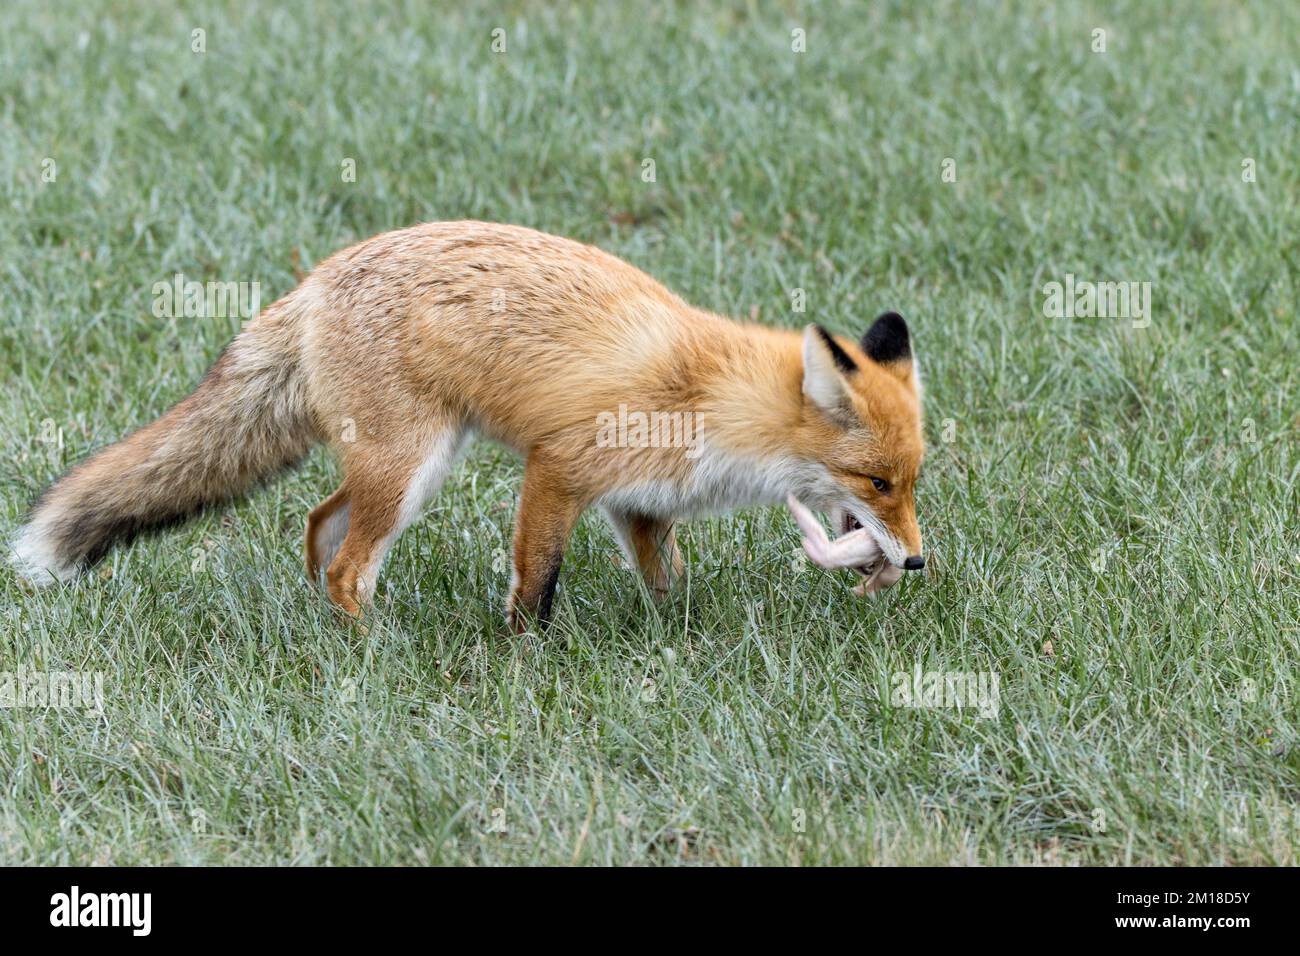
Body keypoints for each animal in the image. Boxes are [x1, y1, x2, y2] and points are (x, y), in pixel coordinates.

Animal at [11, 221, 926, 630]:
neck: (710, 398)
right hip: (410, 468)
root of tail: (314, 280)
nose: (915, 561)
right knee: (348, 566)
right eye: (877, 482)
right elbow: (535, 586)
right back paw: (369, 647)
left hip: (404, 465)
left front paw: (676, 634)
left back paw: (324, 627)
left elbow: (665, 581)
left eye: (912, 483)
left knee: (318, 527)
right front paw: (528, 659)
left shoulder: (639, 502)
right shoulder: (557, 468)